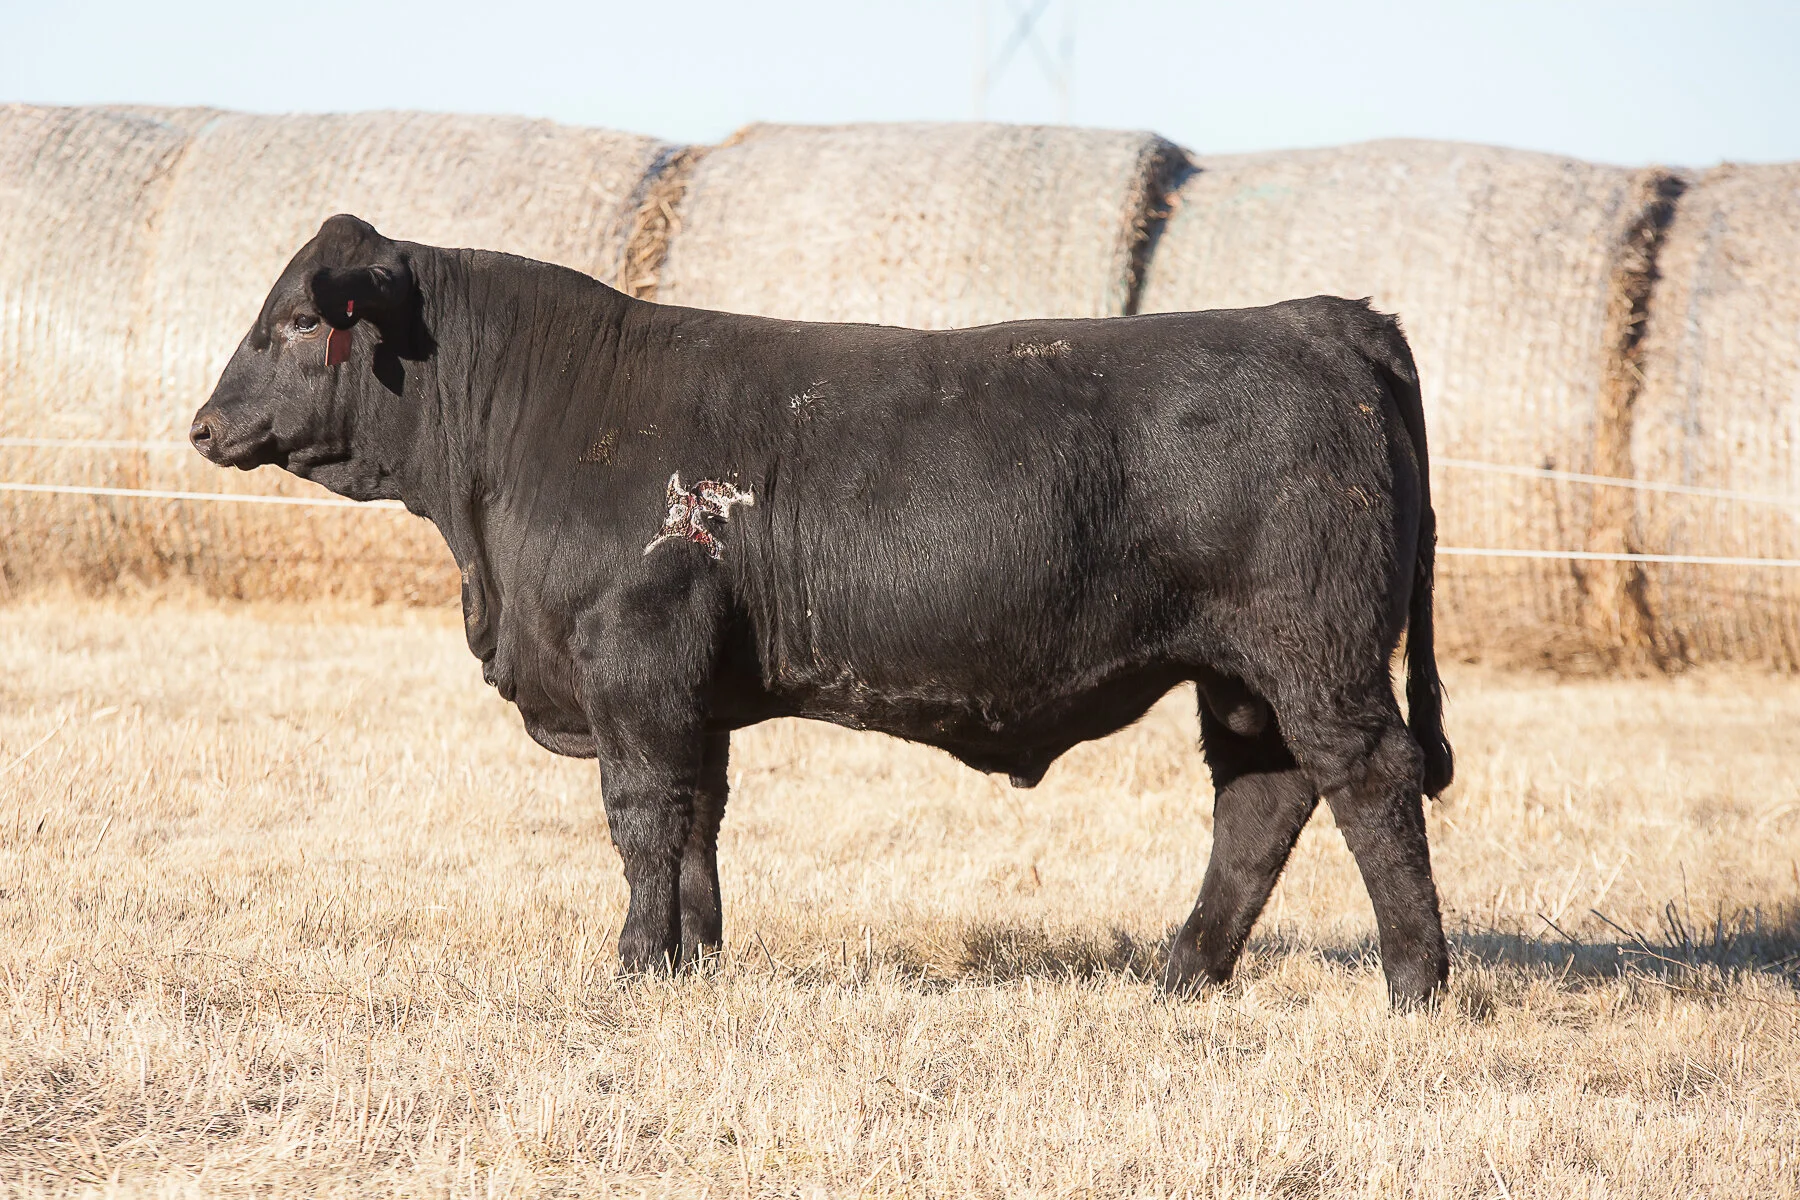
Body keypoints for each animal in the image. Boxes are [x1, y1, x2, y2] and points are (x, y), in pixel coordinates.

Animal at [190, 214, 1455, 1007]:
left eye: (295, 322)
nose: (203, 425)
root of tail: (1321, 318)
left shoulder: (634, 665)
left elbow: (643, 818)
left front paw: (636, 965)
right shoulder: (693, 692)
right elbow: (699, 822)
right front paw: (695, 962)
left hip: (1315, 650)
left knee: (1367, 782)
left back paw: (1417, 986)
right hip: (1240, 675)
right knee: (1262, 799)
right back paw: (1183, 978)